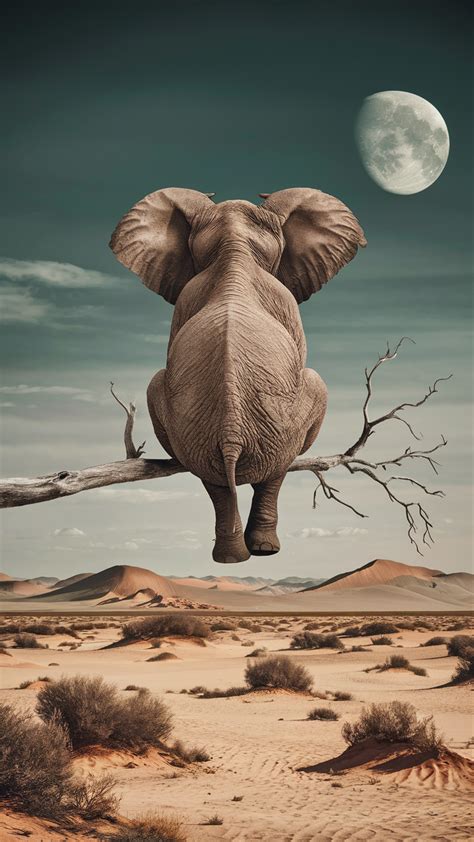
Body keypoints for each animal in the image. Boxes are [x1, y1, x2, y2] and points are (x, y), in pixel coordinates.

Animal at [109, 187, 366, 563]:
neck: (234, 250)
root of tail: (231, 435)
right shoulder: (284, 303)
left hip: (209, 437)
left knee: (219, 481)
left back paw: (236, 557)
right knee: (277, 464)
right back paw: (258, 552)